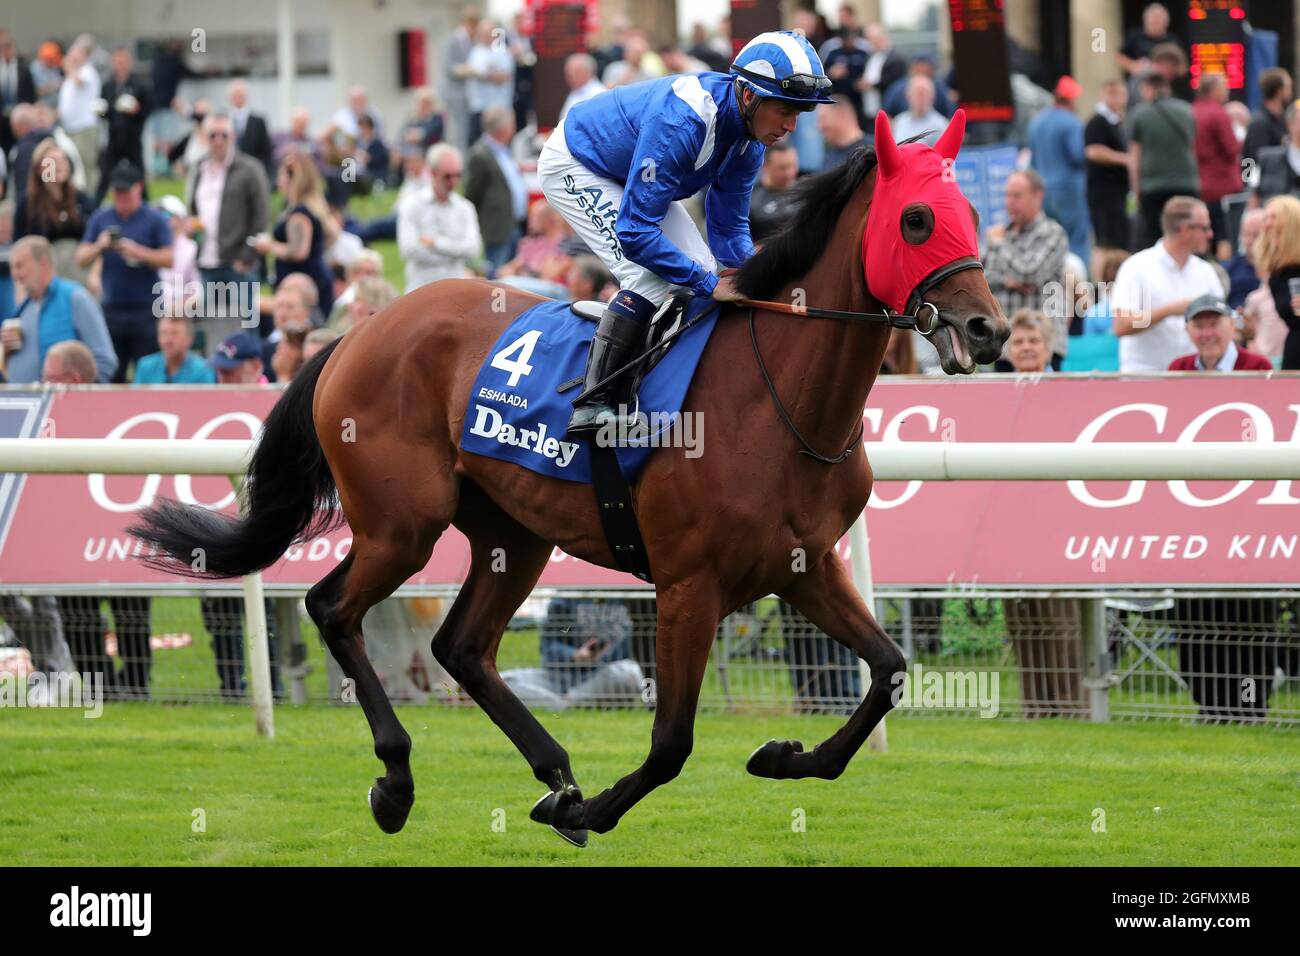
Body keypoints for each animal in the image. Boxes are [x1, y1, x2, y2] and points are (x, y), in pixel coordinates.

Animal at [129, 110, 1008, 844]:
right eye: (917, 219)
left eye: (971, 216)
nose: (988, 330)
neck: (778, 399)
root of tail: (357, 333)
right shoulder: (688, 586)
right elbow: (672, 742)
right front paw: (595, 809)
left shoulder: (805, 566)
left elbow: (890, 672)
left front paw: (783, 756)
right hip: (402, 524)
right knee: (332, 608)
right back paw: (400, 780)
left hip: (512, 533)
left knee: (460, 647)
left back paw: (553, 772)